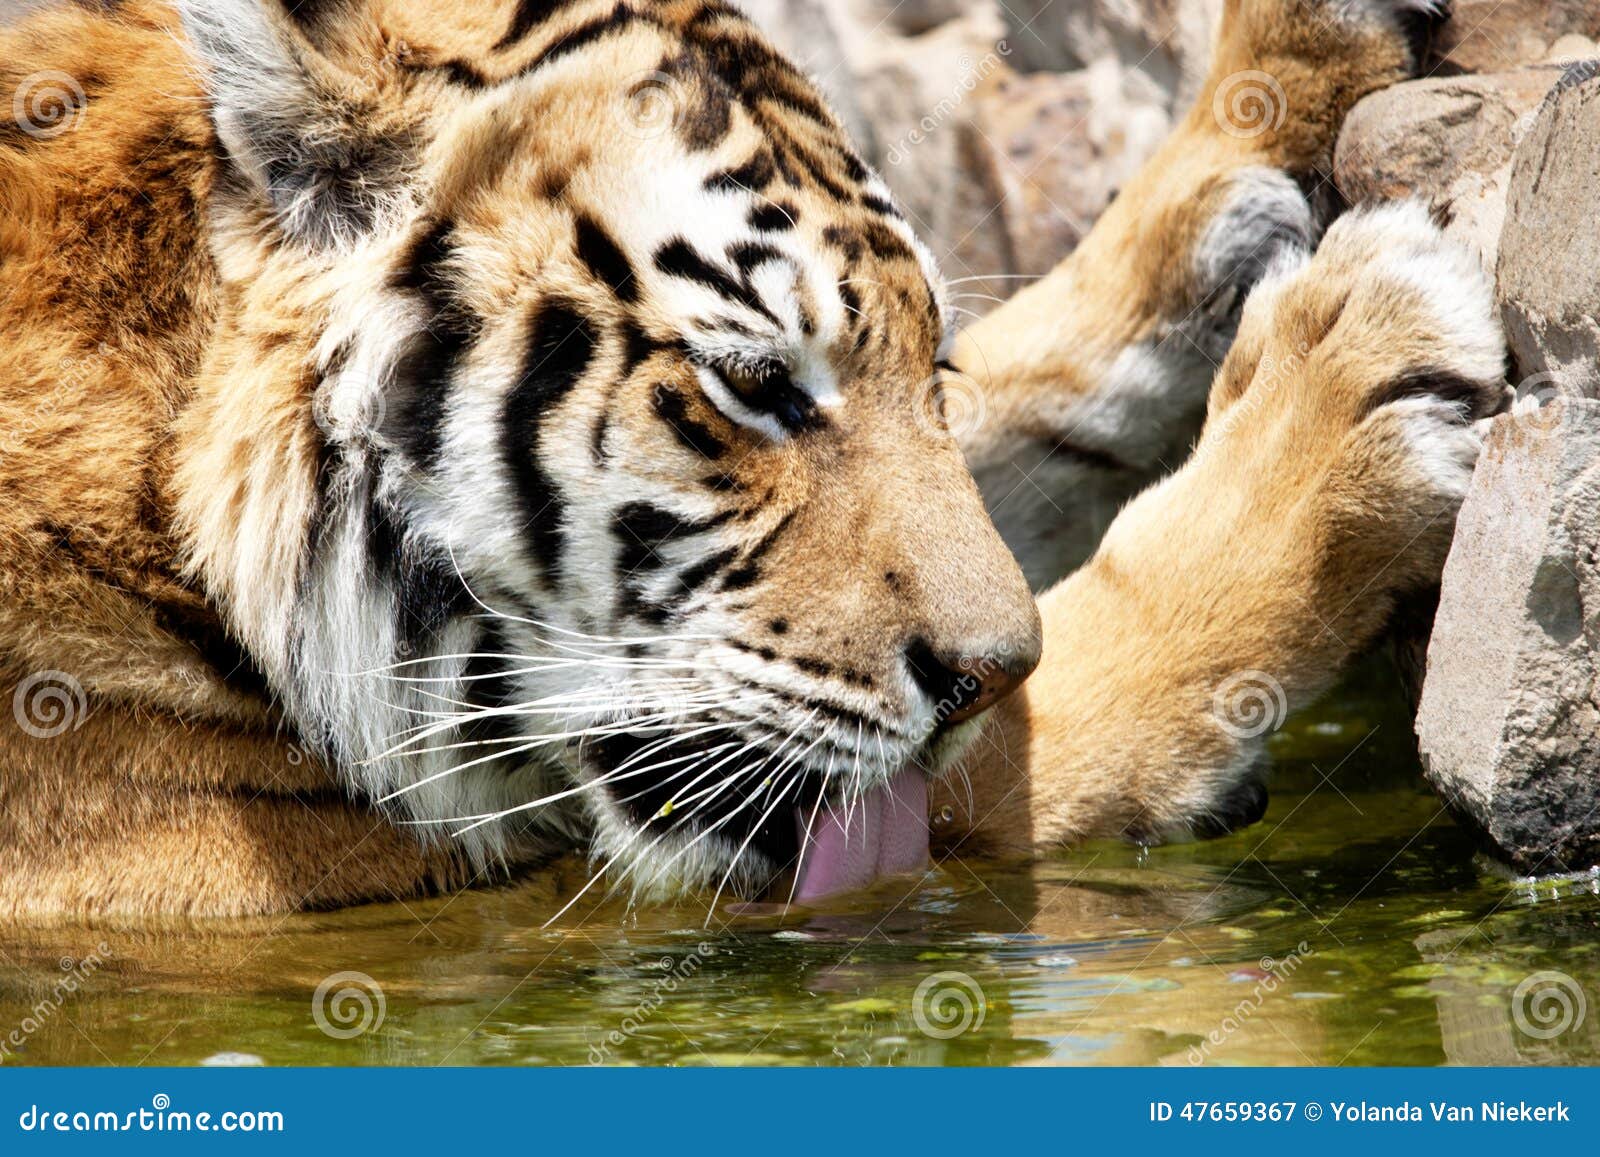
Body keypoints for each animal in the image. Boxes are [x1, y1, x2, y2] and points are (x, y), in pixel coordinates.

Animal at [0, 0, 1505, 919]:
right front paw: (1343, 388)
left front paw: (1275, 91)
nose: (986, 673)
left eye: (927, 367)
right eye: (755, 387)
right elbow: (1063, 717)